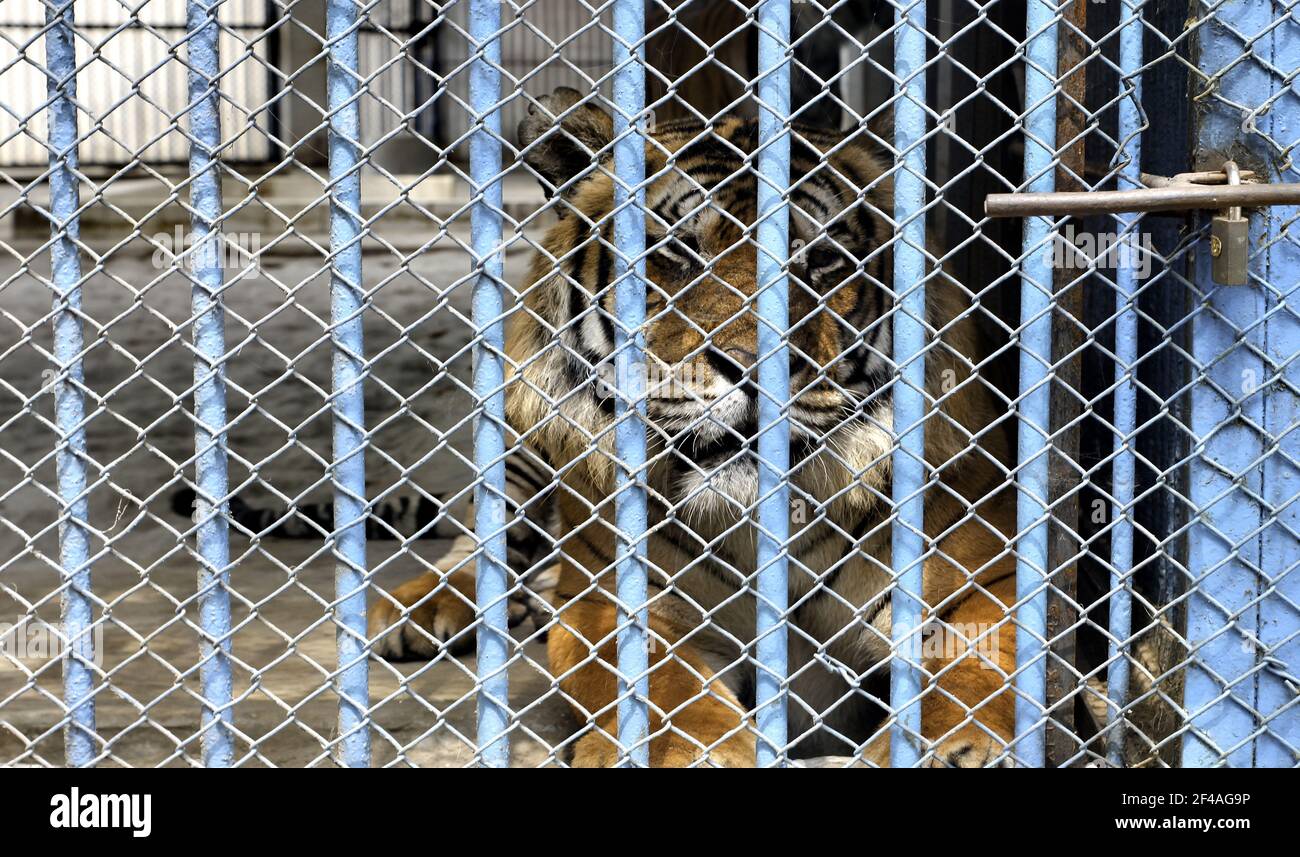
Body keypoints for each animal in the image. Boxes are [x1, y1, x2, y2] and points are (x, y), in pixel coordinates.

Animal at [367, 86, 1024, 767]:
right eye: (677, 254)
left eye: (821, 260)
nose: (759, 365)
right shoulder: (610, 602)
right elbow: (663, 686)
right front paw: (699, 749)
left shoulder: (994, 572)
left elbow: (978, 660)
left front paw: (952, 744)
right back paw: (423, 608)